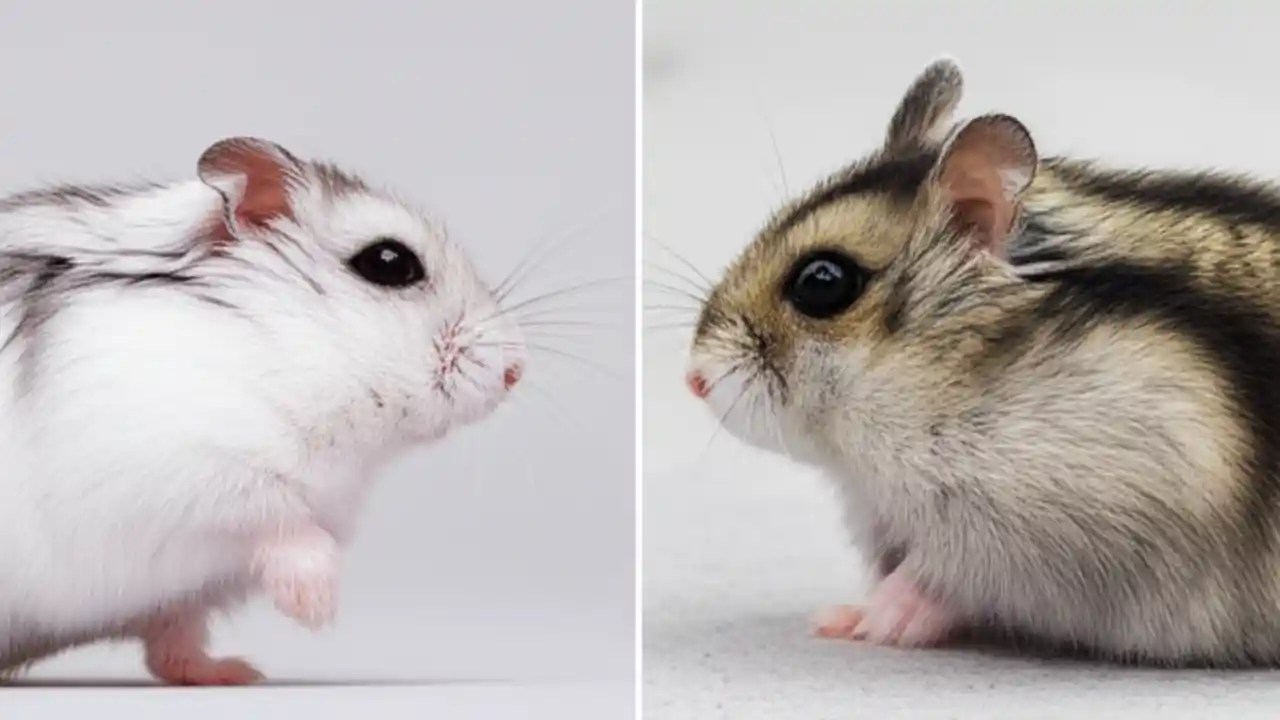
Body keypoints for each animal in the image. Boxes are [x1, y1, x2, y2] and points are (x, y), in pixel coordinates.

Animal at [0, 137, 527, 683]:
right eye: (388, 261)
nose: (516, 371)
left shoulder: (189, 588)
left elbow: (174, 639)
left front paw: (240, 672)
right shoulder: (176, 469)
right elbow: (279, 519)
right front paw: (316, 608)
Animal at [686, 58, 1280, 666]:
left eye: (822, 282)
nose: (694, 379)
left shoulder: (1075, 516)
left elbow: (941, 577)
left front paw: (879, 618)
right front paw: (835, 618)